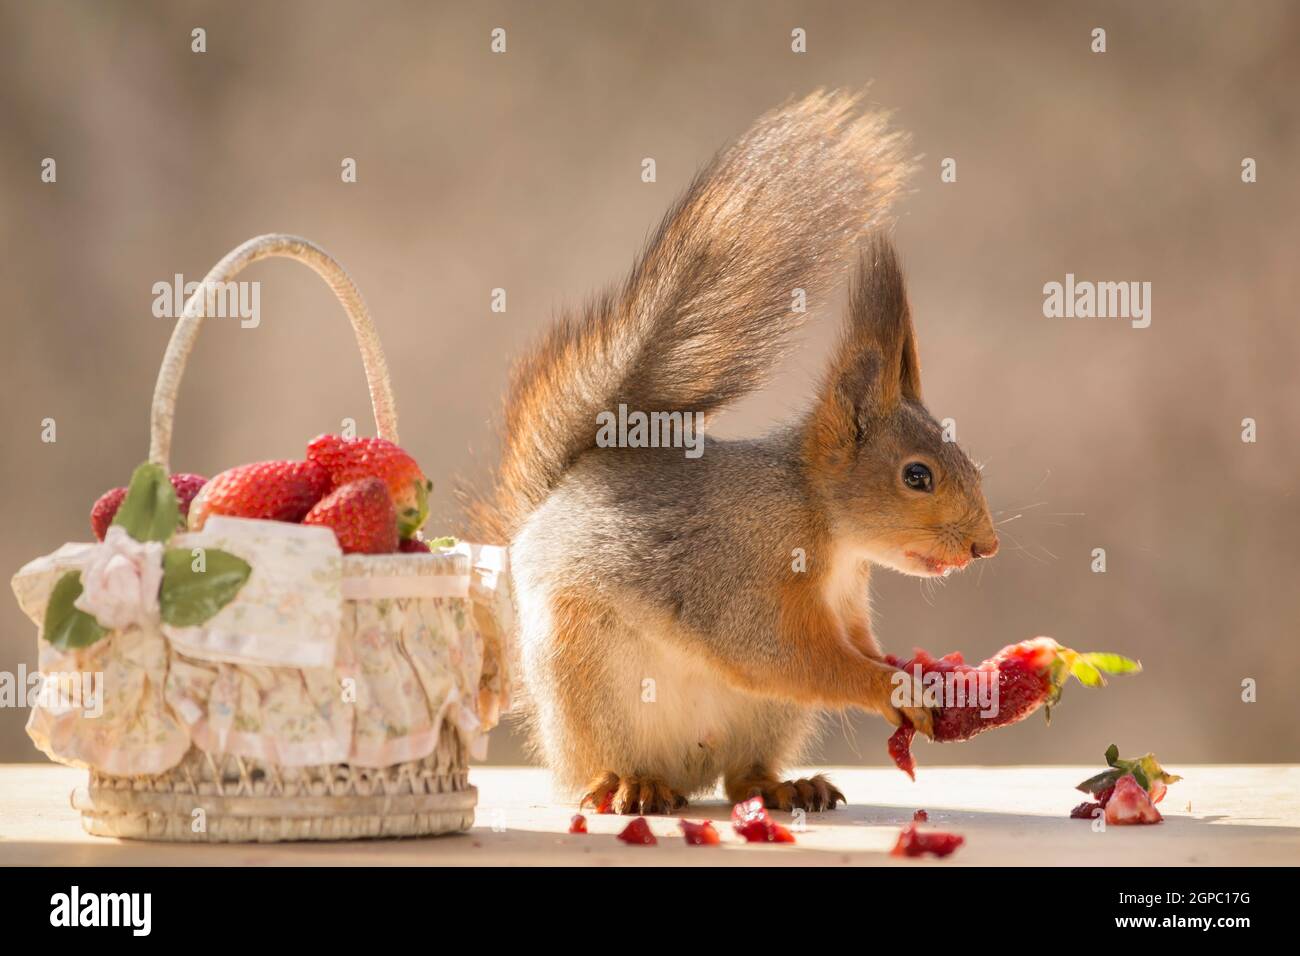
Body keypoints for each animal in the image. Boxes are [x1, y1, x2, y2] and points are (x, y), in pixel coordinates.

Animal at [470, 90, 999, 814]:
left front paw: (905, 668)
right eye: (917, 476)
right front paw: (893, 687)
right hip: (582, 679)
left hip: (764, 720)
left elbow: (856, 645)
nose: (986, 546)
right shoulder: (747, 576)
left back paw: (786, 785)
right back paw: (628, 784)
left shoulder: (847, 602)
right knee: (596, 770)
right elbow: (787, 656)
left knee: (741, 775)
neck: (823, 522)